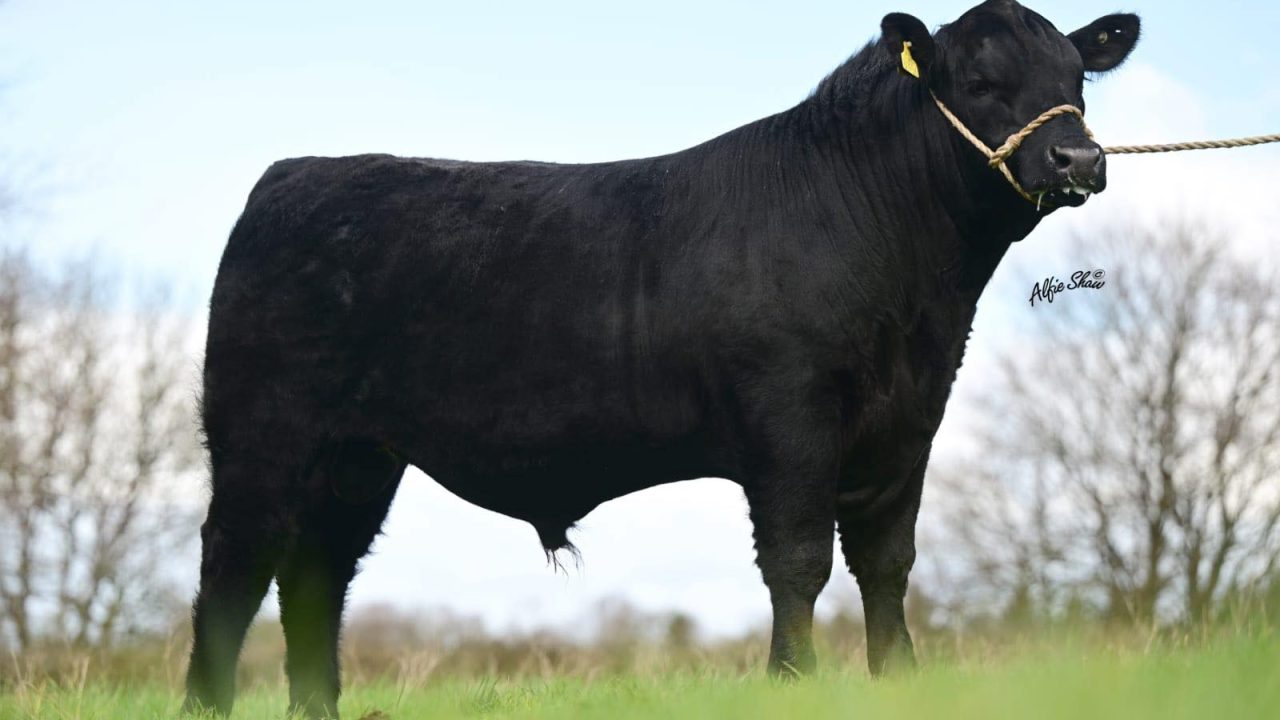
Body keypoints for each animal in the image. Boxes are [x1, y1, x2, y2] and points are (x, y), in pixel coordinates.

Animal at [183, 1, 1140, 717]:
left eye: (1076, 81)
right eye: (979, 82)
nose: (1078, 156)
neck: (918, 302)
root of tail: (295, 175)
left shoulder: (907, 423)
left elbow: (887, 562)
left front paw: (899, 682)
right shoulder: (790, 419)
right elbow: (799, 560)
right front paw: (793, 683)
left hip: (358, 458)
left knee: (317, 576)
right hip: (262, 433)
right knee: (233, 565)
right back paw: (205, 703)